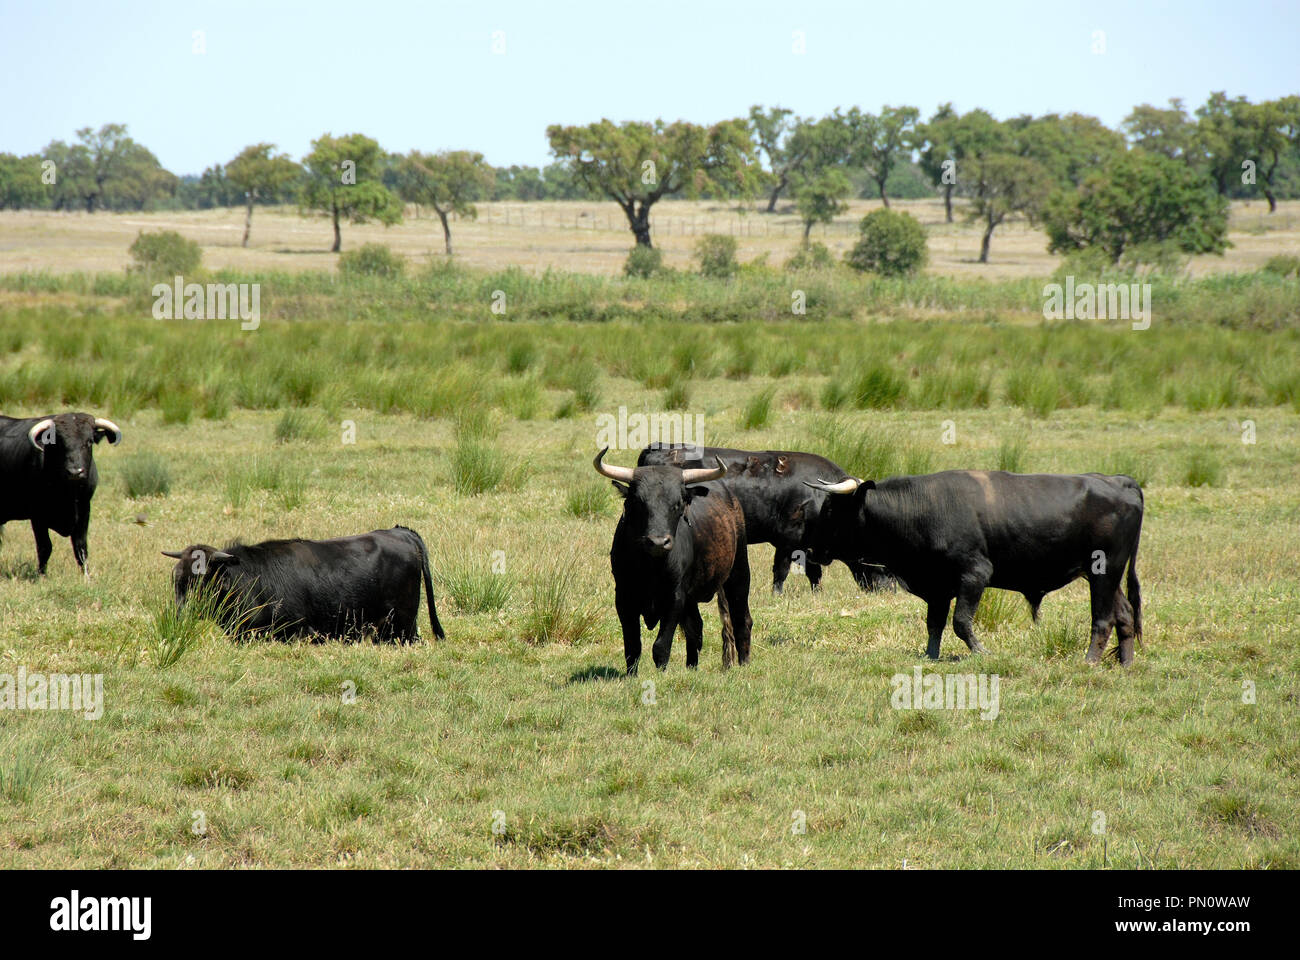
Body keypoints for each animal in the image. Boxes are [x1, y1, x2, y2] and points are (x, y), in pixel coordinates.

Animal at [0, 412, 122, 576]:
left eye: (89, 441)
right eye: (59, 443)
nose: (75, 472)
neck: (67, 493)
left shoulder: (84, 510)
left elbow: (80, 547)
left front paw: (86, 575)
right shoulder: (37, 515)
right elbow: (45, 547)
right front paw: (42, 575)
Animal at [594, 447, 752, 674]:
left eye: (677, 504)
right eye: (638, 503)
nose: (658, 542)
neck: (650, 566)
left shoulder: (675, 597)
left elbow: (661, 645)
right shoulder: (624, 597)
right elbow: (632, 645)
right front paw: (631, 675)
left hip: (739, 573)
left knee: (742, 619)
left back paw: (744, 663)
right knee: (696, 627)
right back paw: (691, 667)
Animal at [638, 443, 892, 594]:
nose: (889, 588)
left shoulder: (807, 545)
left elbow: (814, 574)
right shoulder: (788, 541)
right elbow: (781, 571)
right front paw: (776, 595)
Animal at [803, 470, 1144, 665]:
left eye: (831, 509)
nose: (809, 549)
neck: (921, 508)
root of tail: (1119, 482)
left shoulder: (974, 575)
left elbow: (960, 622)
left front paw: (982, 652)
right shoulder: (937, 587)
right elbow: (934, 625)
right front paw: (930, 656)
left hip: (1105, 572)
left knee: (1103, 620)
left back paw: (1089, 662)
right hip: (1105, 577)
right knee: (1125, 615)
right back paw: (1126, 664)